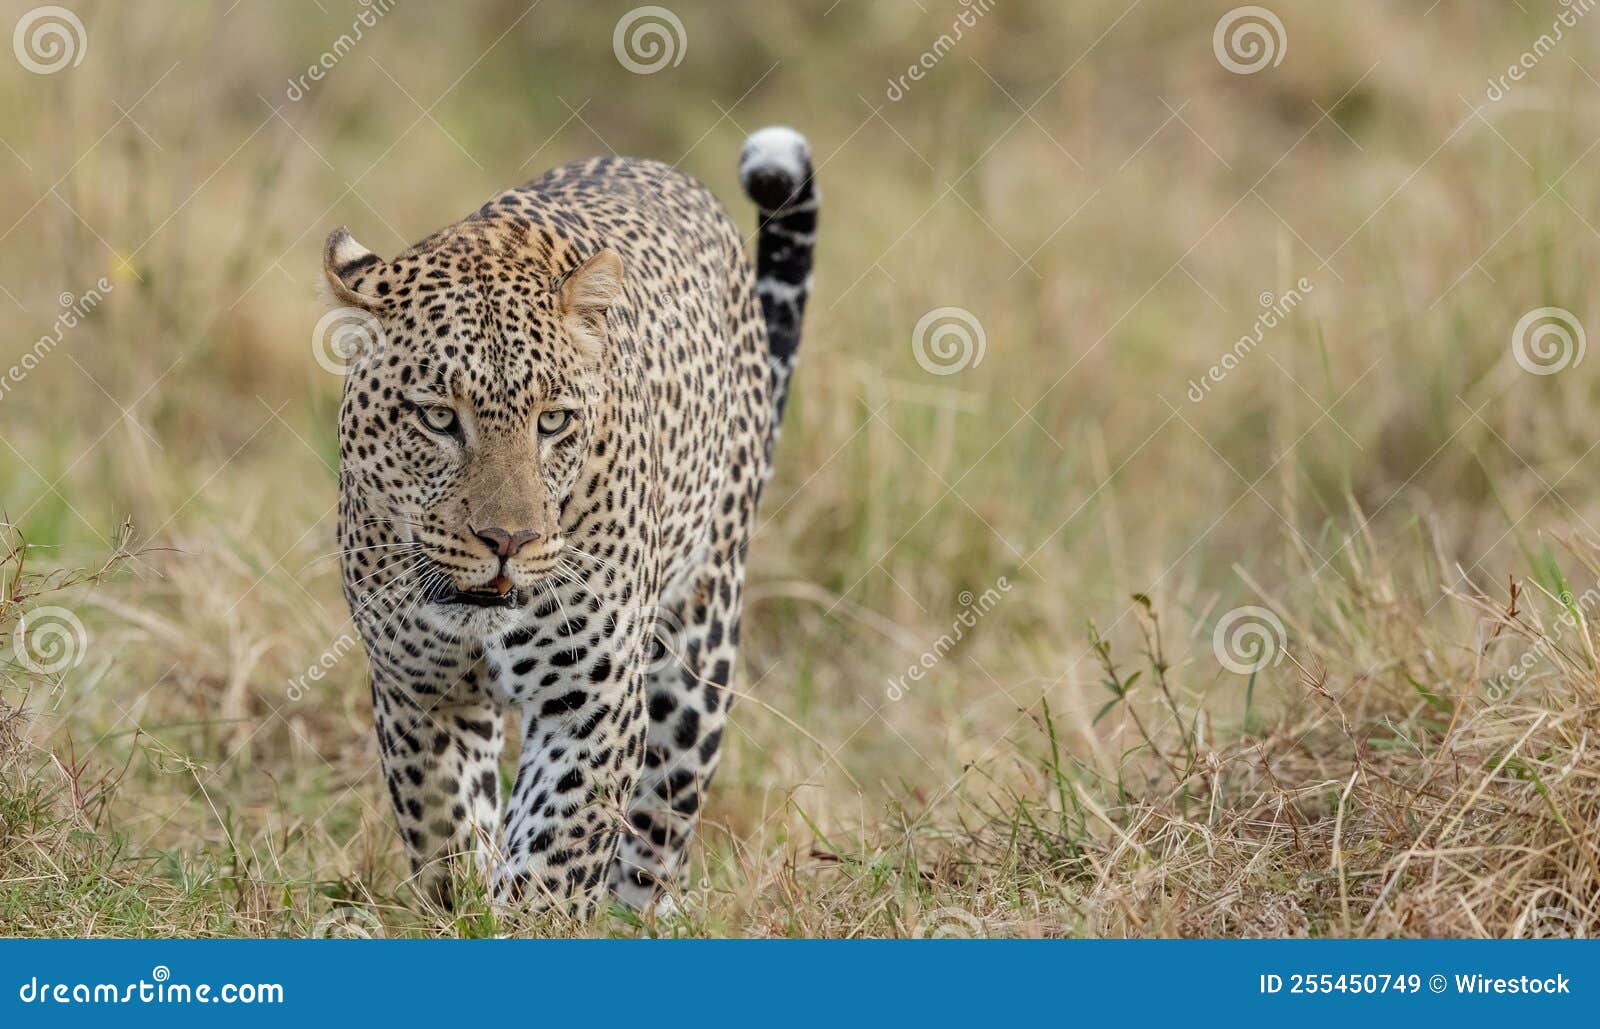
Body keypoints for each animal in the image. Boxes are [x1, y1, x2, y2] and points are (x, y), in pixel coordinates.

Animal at [320, 126, 818, 916]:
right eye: (438, 418)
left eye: (552, 422)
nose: (508, 542)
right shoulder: (419, 692)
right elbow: (448, 831)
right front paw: (462, 908)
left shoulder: (593, 699)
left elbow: (552, 858)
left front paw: (520, 917)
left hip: (699, 642)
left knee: (658, 828)